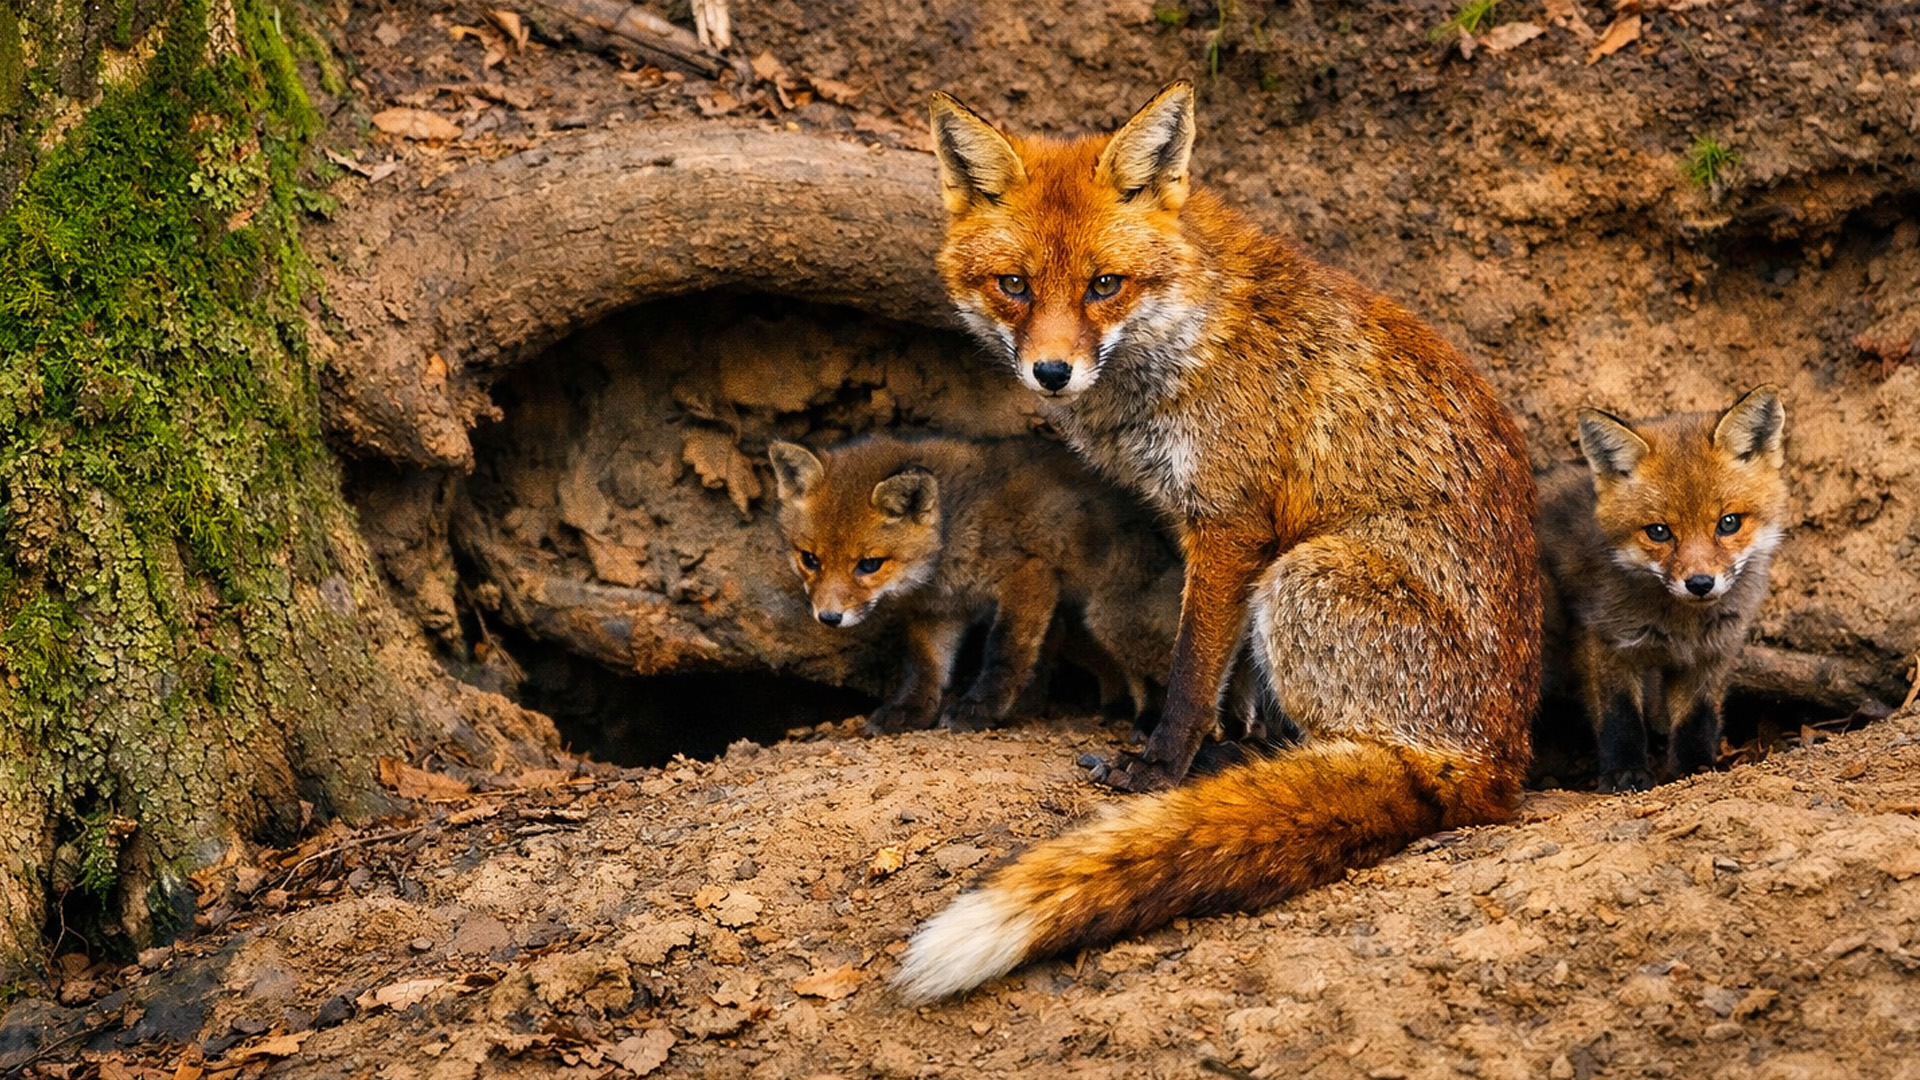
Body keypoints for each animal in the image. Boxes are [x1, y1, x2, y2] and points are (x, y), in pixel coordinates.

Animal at [766, 433, 1180, 735]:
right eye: (810, 559)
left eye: (869, 565)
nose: (828, 617)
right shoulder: (937, 610)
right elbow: (926, 666)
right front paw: (910, 710)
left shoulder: (1028, 574)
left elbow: (1005, 651)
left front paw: (980, 708)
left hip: (1110, 619)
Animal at [893, 81, 1542, 1003]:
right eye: (1014, 285)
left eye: (1105, 285)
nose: (1051, 374)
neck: (1192, 334)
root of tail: (1493, 767)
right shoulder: (1193, 520)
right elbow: (1220, 672)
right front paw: (1211, 743)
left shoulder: (1233, 523)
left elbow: (1192, 671)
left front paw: (1162, 767)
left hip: (1305, 578)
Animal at [1538, 386, 1788, 793]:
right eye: (1658, 531)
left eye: (1728, 523)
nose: (1700, 583)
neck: (1682, 626)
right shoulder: (1606, 641)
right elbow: (1620, 717)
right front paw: (1624, 772)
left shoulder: (1713, 651)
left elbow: (1696, 718)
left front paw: (1694, 767)